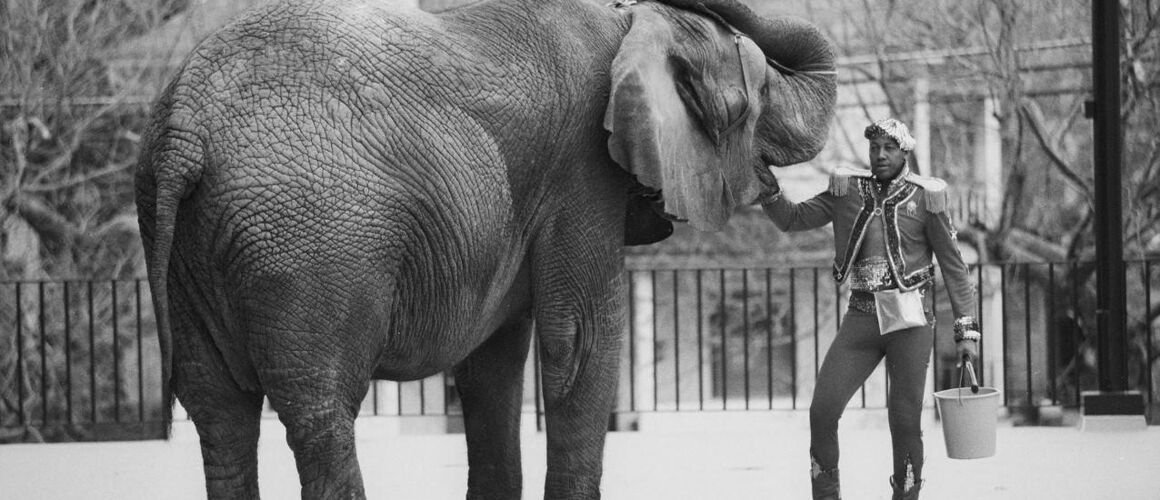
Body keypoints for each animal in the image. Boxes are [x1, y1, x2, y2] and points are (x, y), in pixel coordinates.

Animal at [134, 0, 836, 498]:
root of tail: (184, 125)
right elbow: (580, 341)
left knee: (218, 415)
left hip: (190, 246)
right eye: (748, 103)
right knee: (320, 415)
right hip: (308, 243)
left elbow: (492, 366)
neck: (630, 31)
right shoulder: (581, 173)